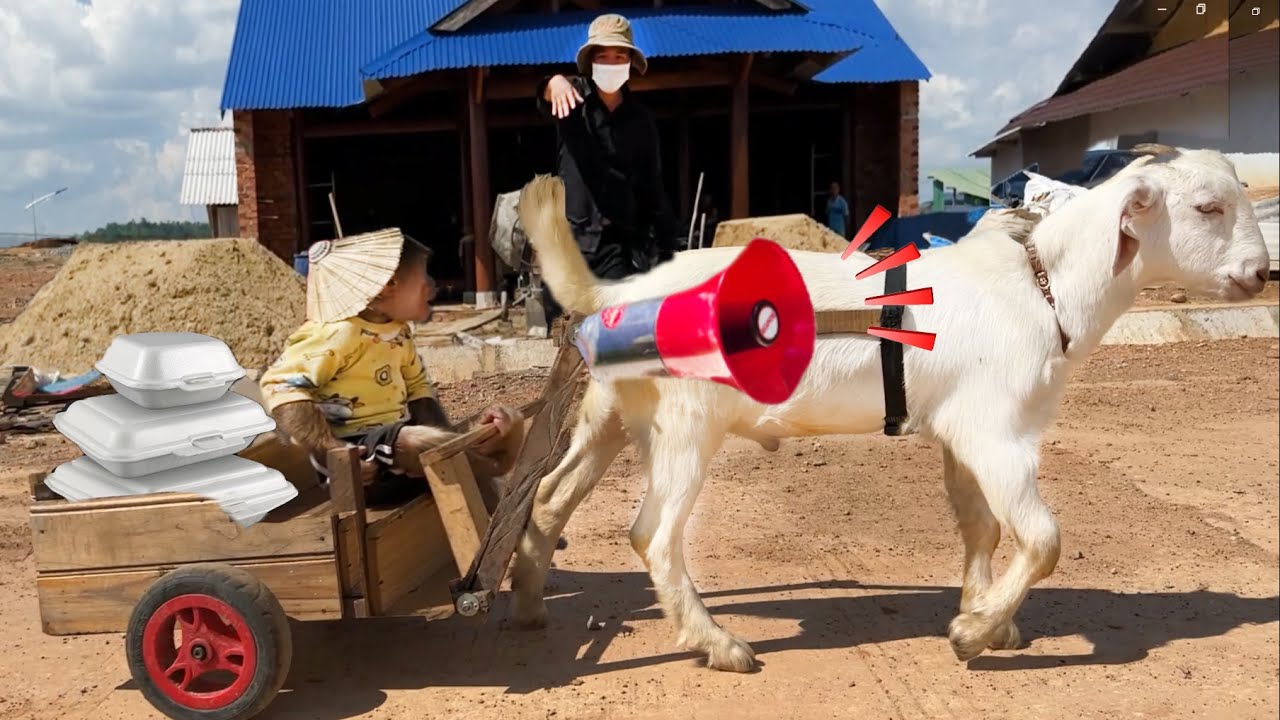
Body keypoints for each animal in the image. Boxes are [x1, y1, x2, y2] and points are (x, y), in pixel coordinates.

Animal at [509, 145, 1272, 673]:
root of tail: (617, 293)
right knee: (654, 535)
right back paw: (719, 644)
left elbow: (982, 529)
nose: (1260, 274)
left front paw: (984, 614)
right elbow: (1043, 538)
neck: (1041, 283)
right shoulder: (997, 431)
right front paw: (972, 635)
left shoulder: (960, 429)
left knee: (549, 497)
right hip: (687, 424)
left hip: (611, 412)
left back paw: (529, 601)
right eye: (1208, 208)